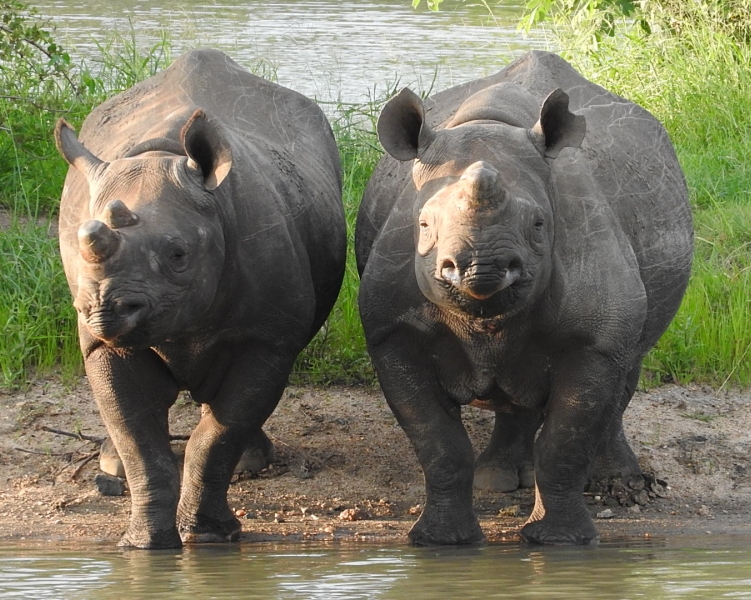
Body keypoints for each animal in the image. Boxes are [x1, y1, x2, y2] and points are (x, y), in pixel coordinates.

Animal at [55, 49, 346, 548]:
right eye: (82, 246)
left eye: (178, 255)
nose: (106, 309)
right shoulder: (101, 344)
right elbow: (138, 438)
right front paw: (145, 545)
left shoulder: (266, 338)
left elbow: (218, 437)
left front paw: (209, 538)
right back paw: (112, 465)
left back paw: (252, 462)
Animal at [356, 51, 692, 545]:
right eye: (422, 225)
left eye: (538, 224)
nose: (480, 267)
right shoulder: (392, 335)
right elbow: (438, 443)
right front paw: (441, 542)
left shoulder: (594, 340)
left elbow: (565, 442)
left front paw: (561, 542)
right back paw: (498, 481)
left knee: (628, 362)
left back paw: (623, 489)